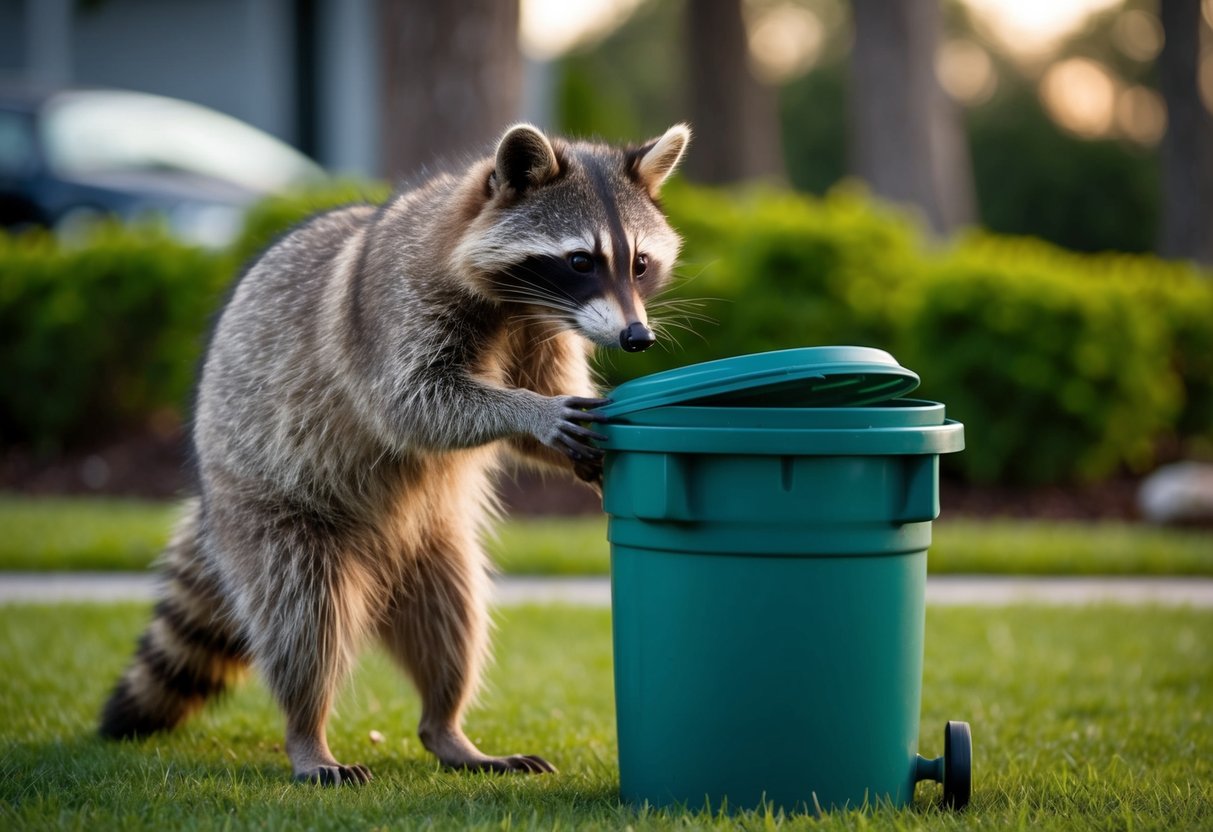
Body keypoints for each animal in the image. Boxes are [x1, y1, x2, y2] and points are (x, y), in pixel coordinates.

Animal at [98, 123, 690, 784]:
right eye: (581, 261)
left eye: (640, 263)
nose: (637, 337)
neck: (519, 301)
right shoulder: (397, 306)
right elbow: (411, 405)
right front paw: (529, 412)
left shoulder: (541, 329)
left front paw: (572, 444)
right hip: (267, 507)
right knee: (304, 620)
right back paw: (307, 733)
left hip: (434, 542)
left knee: (452, 623)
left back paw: (447, 729)